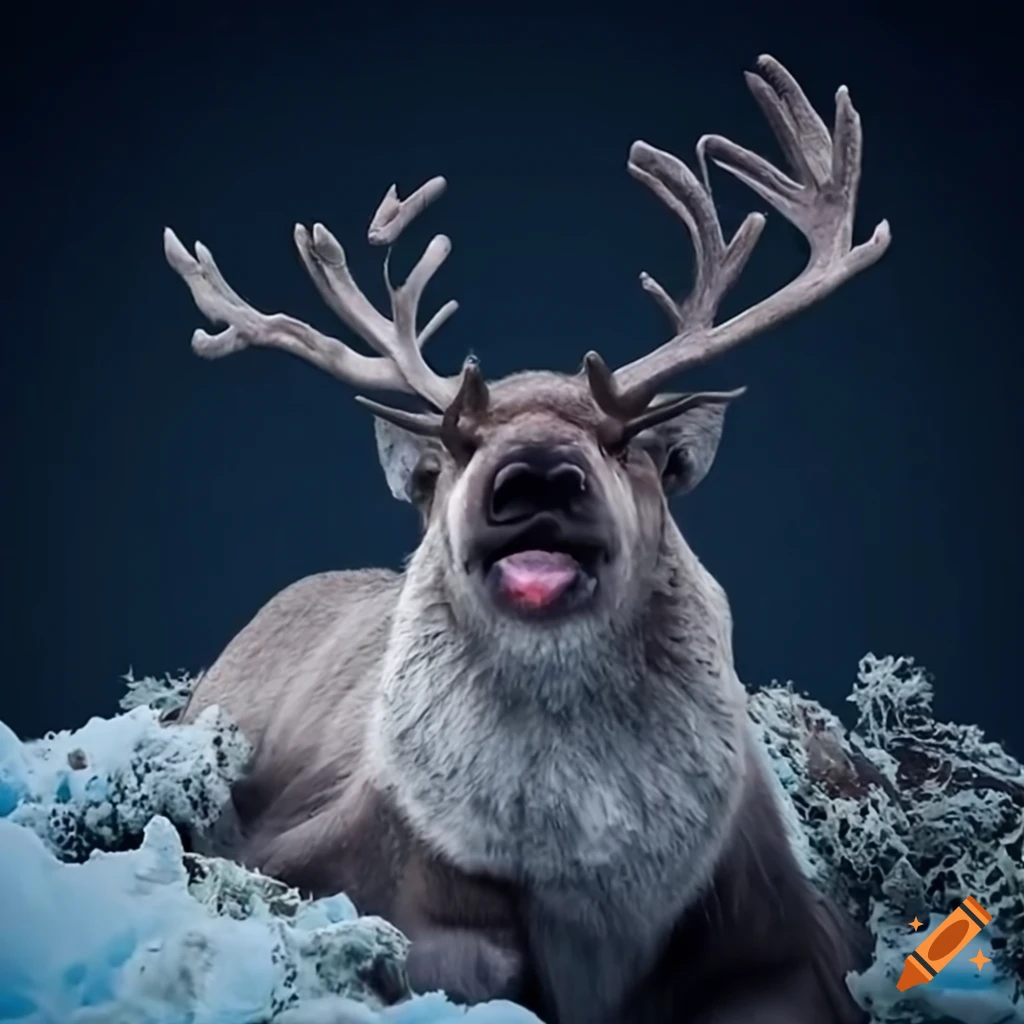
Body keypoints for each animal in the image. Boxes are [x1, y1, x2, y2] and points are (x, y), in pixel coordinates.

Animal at [164, 55, 890, 1024]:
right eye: (455, 447)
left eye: (631, 446)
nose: (537, 474)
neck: (596, 904)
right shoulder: (315, 849)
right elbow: (463, 956)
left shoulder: (785, 926)